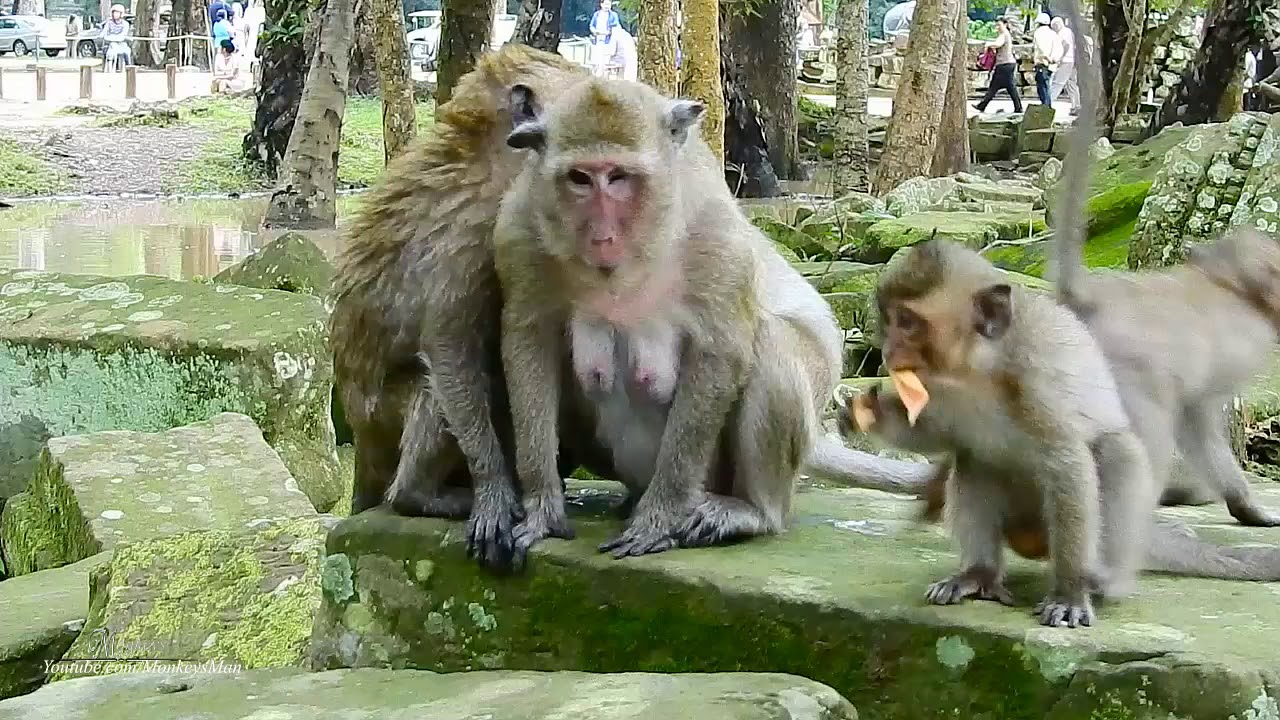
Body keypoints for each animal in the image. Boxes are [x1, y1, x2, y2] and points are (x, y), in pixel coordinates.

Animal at [865, 236, 1156, 627]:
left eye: (908, 322)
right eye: (889, 319)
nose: (887, 352)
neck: (982, 371)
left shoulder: (1037, 379)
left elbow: (1068, 463)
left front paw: (1069, 592)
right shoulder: (940, 391)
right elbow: (939, 434)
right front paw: (869, 411)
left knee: (1115, 451)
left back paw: (1100, 579)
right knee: (974, 462)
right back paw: (978, 574)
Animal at [1050, 0, 1280, 529]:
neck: (1236, 286)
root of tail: (1091, 299)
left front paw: (1243, 506)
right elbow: (1197, 418)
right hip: (1129, 373)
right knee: (1147, 434)